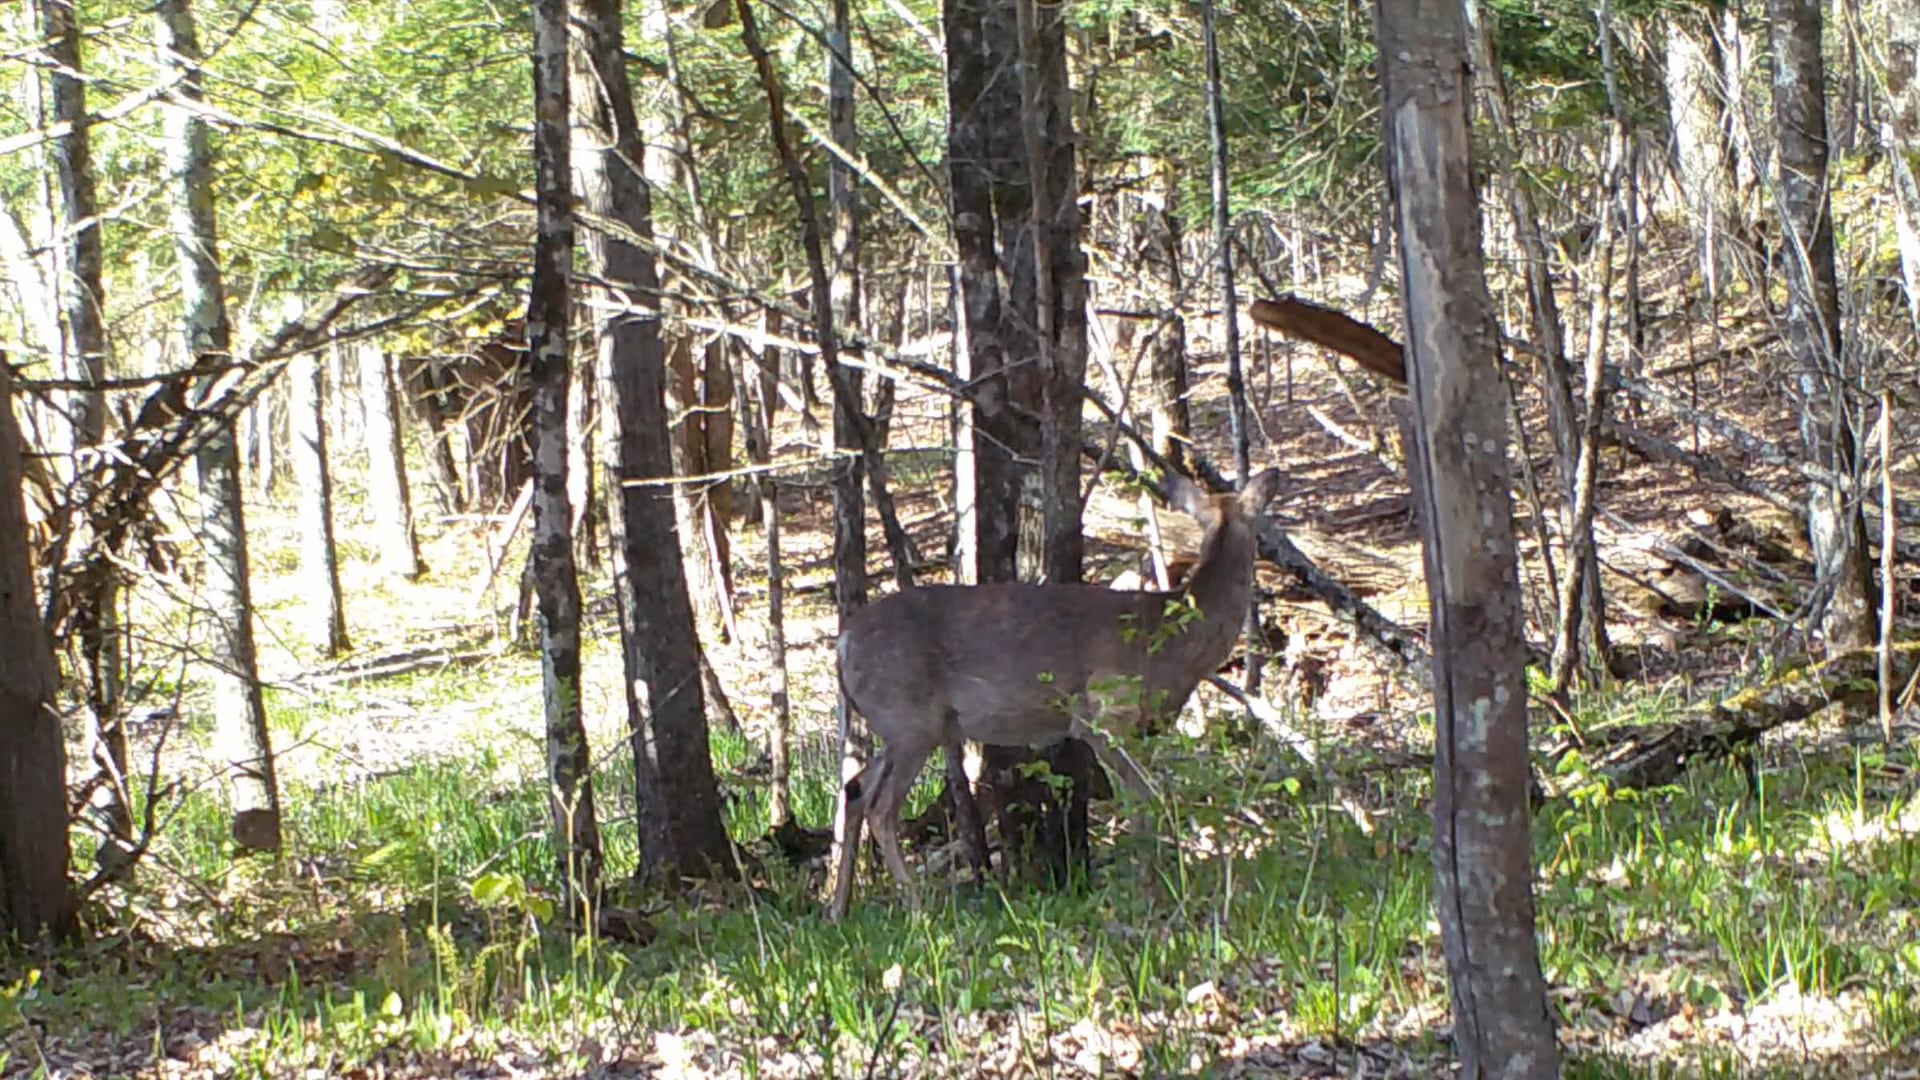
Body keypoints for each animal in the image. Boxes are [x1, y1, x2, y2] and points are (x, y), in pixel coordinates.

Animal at [827, 467, 1282, 919]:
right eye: (1261, 532)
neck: (1171, 642)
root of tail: (842, 643)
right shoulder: (1101, 715)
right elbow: (1144, 798)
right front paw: (1151, 892)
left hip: (905, 726)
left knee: (855, 788)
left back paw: (839, 909)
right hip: (910, 722)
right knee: (881, 807)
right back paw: (918, 909)